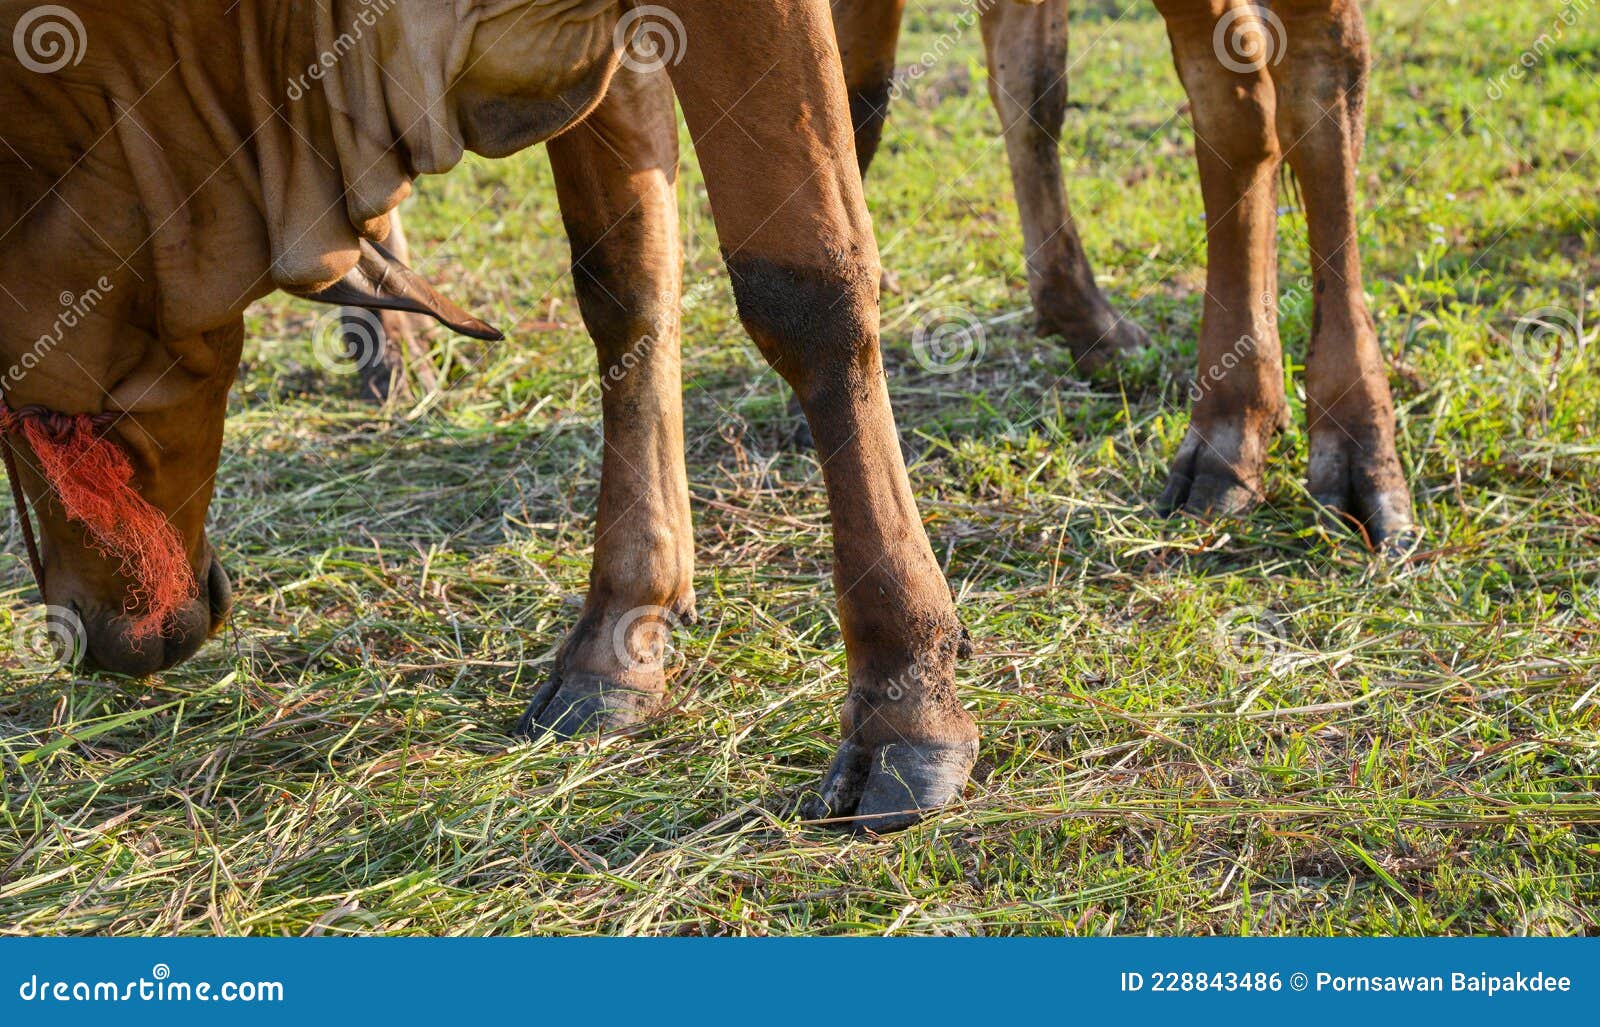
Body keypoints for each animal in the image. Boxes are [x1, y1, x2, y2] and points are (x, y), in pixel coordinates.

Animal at [0, 0, 977, 832]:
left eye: (25, 416)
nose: (75, 627)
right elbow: (624, 285)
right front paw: (619, 634)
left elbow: (807, 287)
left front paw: (906, 698)